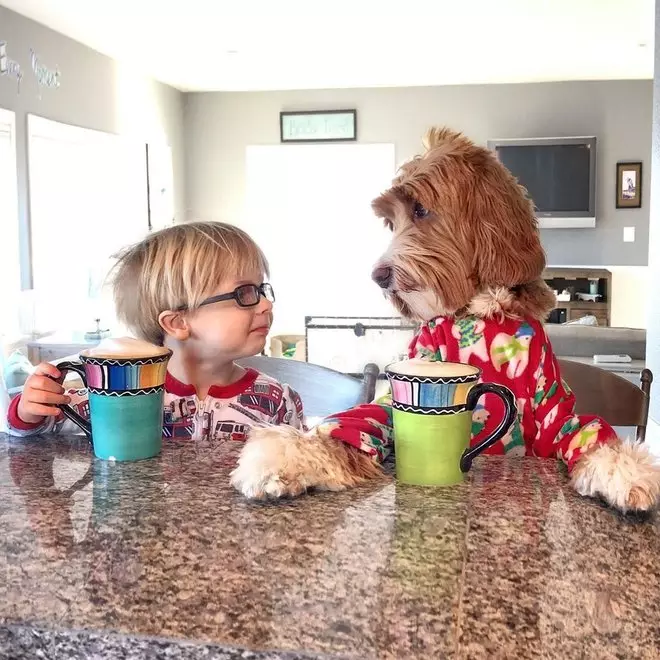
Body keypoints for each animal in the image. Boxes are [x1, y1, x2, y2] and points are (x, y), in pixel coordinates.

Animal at [232, 126, 660, 512]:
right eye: (392, 222)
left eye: (420, 210)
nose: (378, 275)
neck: (481, 316)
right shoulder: (398, 396)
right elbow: (359, 421)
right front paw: (286, 456)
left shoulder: (552, 408)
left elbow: (589, 433)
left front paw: (627, 471)